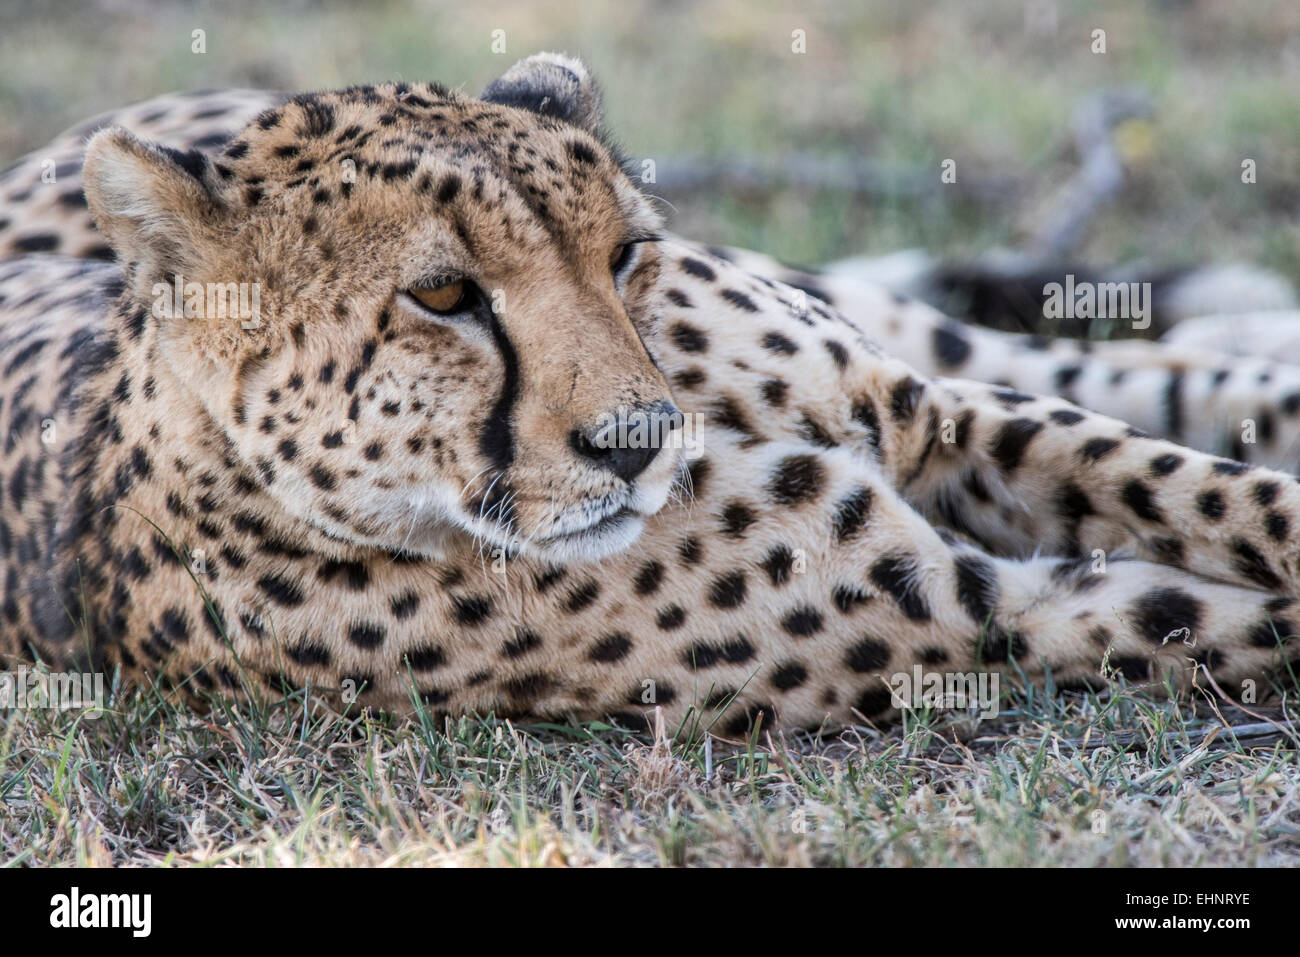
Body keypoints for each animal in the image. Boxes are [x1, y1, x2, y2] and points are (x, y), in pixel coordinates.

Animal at [2, 52, 1299, 735]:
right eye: (441, 295)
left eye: (621, 252)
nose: (638, 444)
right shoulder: (979, 612)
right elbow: (1223, 616)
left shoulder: (927, 421)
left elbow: (1201, 488)